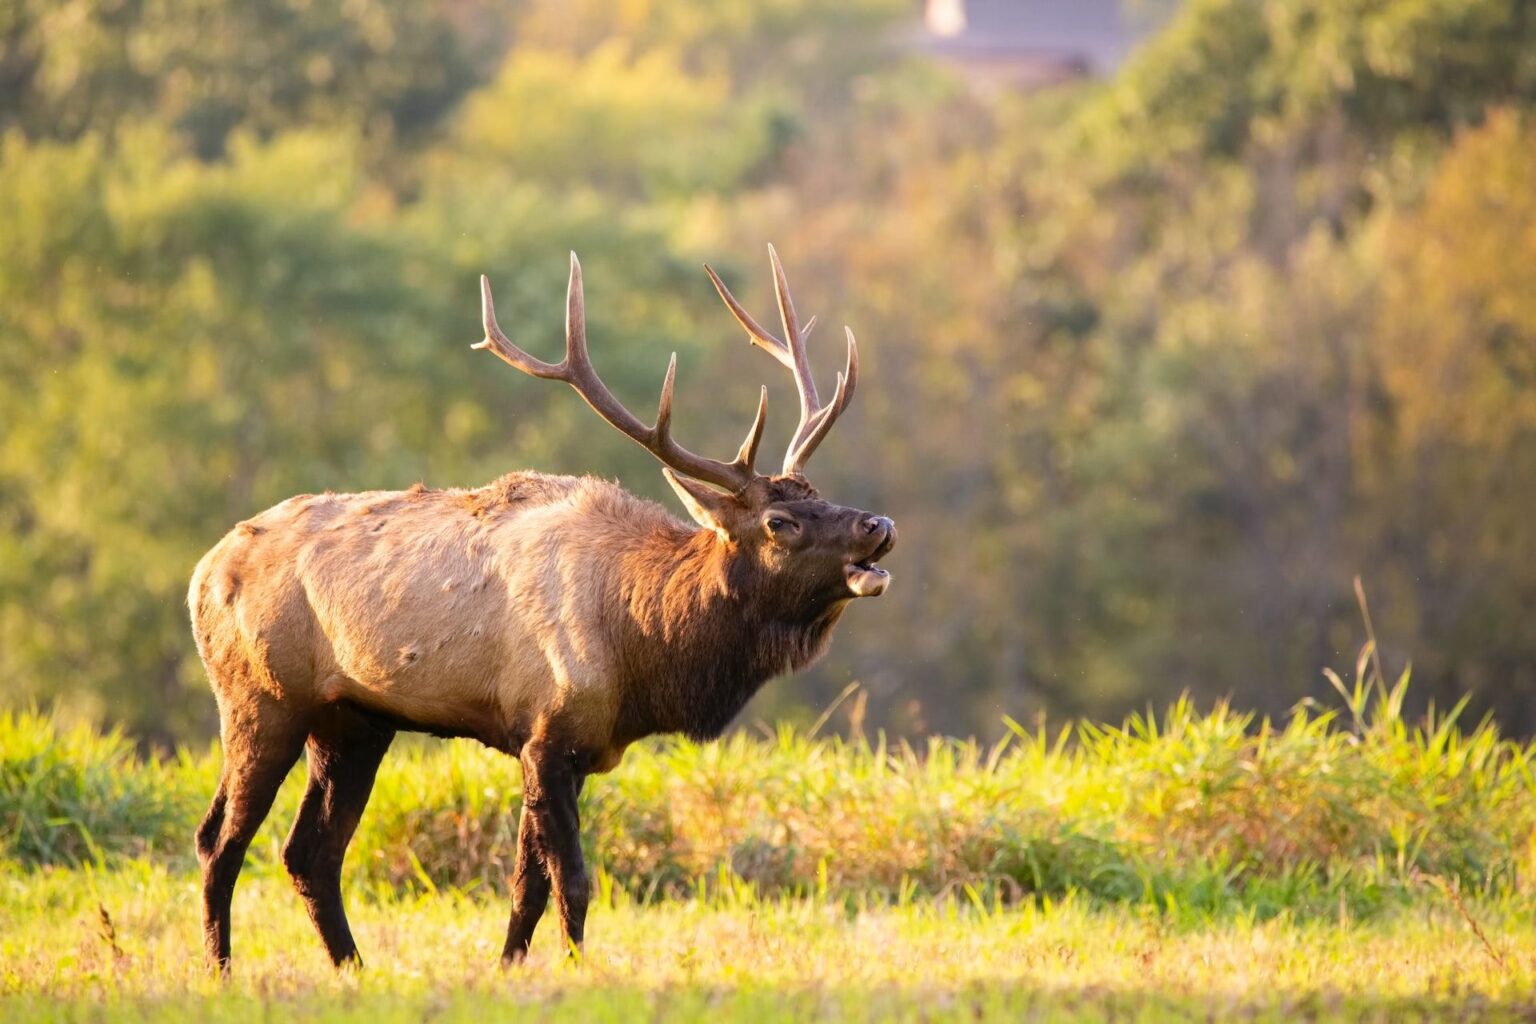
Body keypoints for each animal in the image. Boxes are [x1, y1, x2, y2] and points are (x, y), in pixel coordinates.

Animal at [187, 246, 895, 972]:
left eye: (820, 492)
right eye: (780, 522)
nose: (878, 525)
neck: (644, 649)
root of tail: (203, 572)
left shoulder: (568, 746)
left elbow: (527, 884)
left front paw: (509, 966)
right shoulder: (548, 731)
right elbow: (572, 881)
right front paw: (576, 971)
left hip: (352, 721)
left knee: (310, 852)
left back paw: (352, 968)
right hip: (260, 696)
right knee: (221, 839)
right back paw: (221, 968)